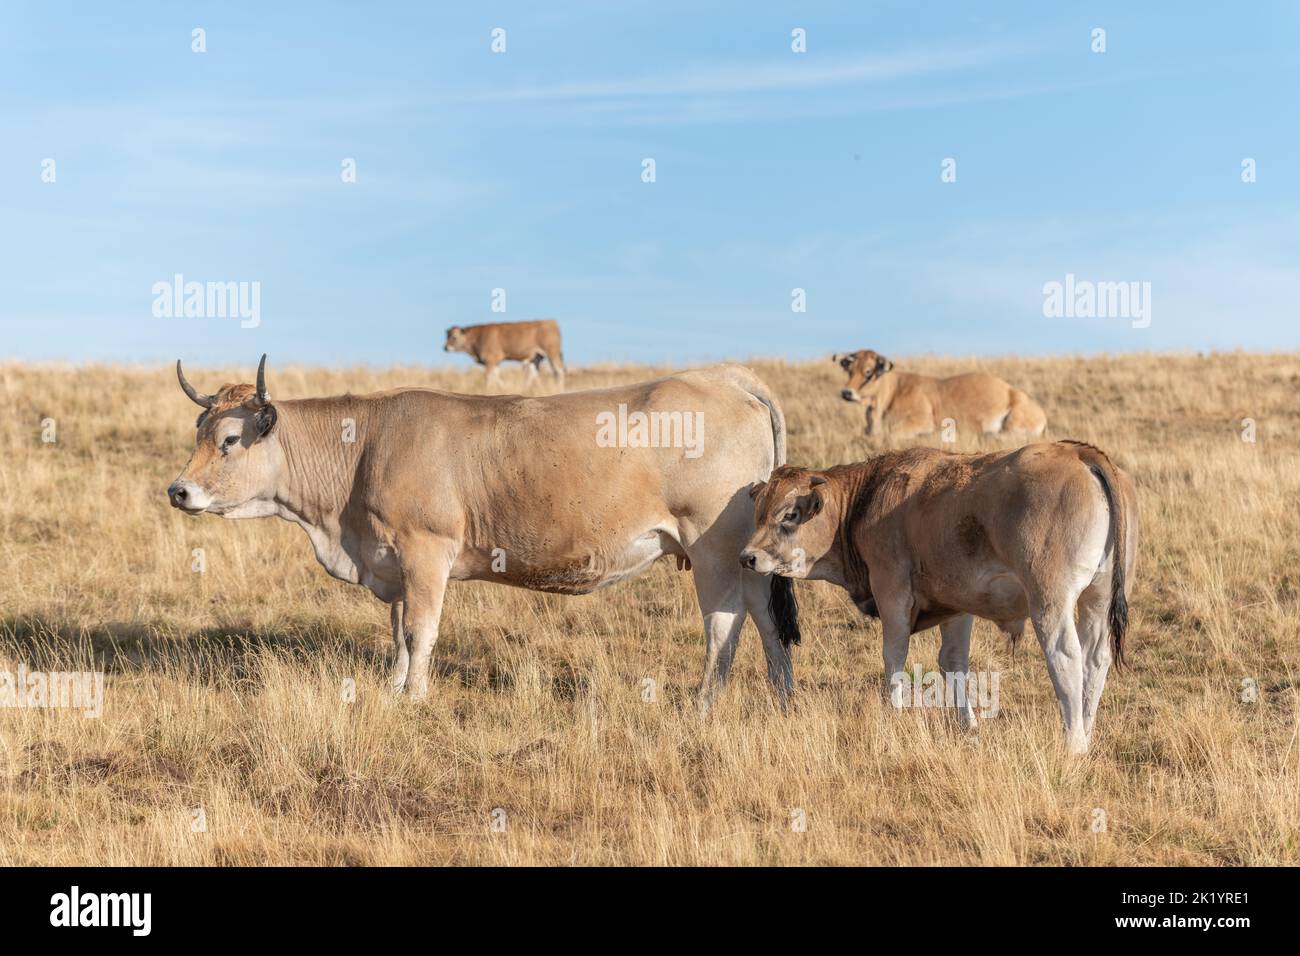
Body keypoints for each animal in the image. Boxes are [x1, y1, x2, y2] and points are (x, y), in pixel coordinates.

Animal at [167, 355, 799, 708]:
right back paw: (783, 697)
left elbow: (420, 631)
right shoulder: (395, 562)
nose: (179, 490)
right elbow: (398, 633)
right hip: (748, 559)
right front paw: (394, 689)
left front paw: (415, 698)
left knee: (725, 626)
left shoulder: (426, 551)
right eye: (198, 432)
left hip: (712, 548)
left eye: (229, 439)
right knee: (768, 621)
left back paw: (703, 704)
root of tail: (725, 377)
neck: (365, 444)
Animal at [740, 441, 1138, 754]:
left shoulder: (892, 588)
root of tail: (1078, 452)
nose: (748, 557)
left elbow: (894, 656)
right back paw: (1086, 731)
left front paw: (895, 713)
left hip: (1050, 602)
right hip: (1096, 600)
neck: (869, 495)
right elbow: (953, 662)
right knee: (1095, 660)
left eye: (790, 514)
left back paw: (1073, 743)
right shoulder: (957, 604)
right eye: (758, 513)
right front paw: (968, 726)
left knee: (1065, 658)